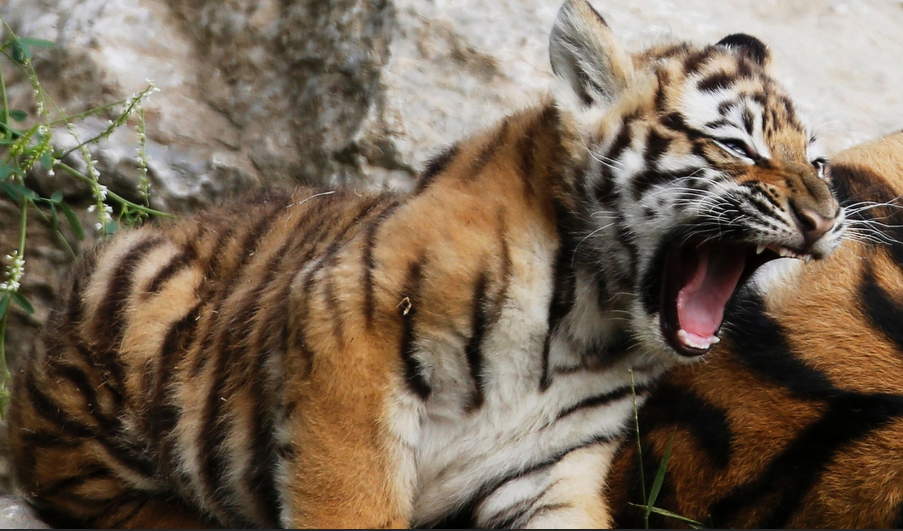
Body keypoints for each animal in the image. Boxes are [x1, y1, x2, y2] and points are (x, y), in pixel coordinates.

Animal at [6, 0, 845, 528]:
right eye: (734, 146)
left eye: (816, 163)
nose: (825, 216)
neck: (588, 323)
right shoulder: (342, 335)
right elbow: (350, 503)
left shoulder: (548, 466)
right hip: (137, 303)